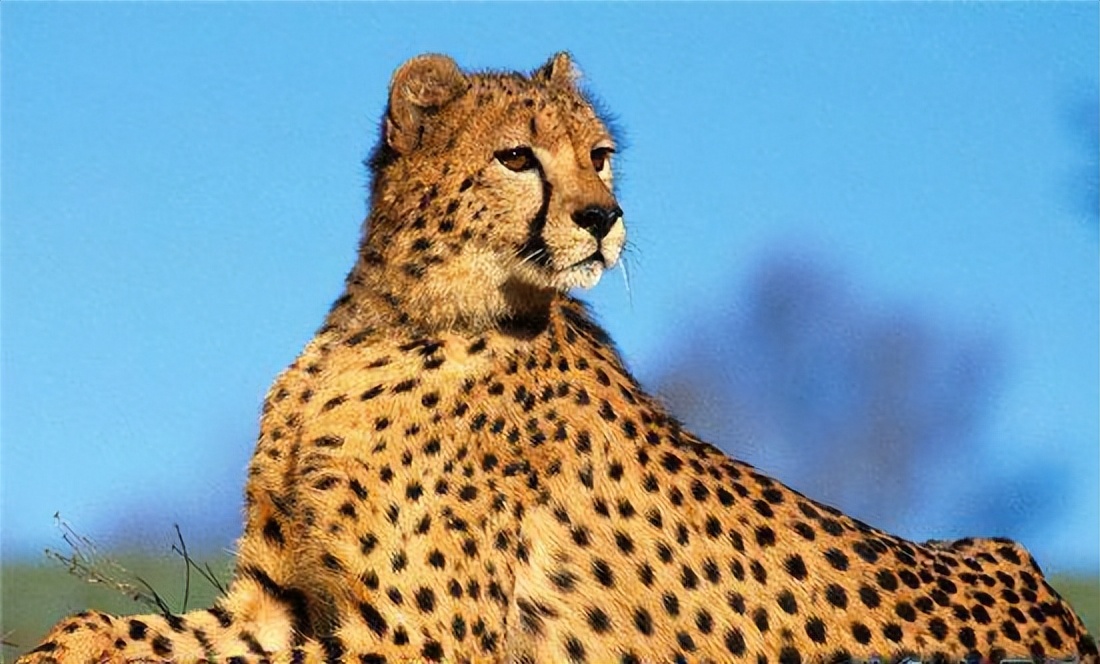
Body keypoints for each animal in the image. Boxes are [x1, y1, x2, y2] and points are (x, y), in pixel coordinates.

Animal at [18, 52, 1096, 664]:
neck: (393, 317)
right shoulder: (278, 600)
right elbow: (109, 628)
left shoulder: (415, 641)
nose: (602, 218)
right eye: (515, 157)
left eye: (600, 157)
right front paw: (60, 647)